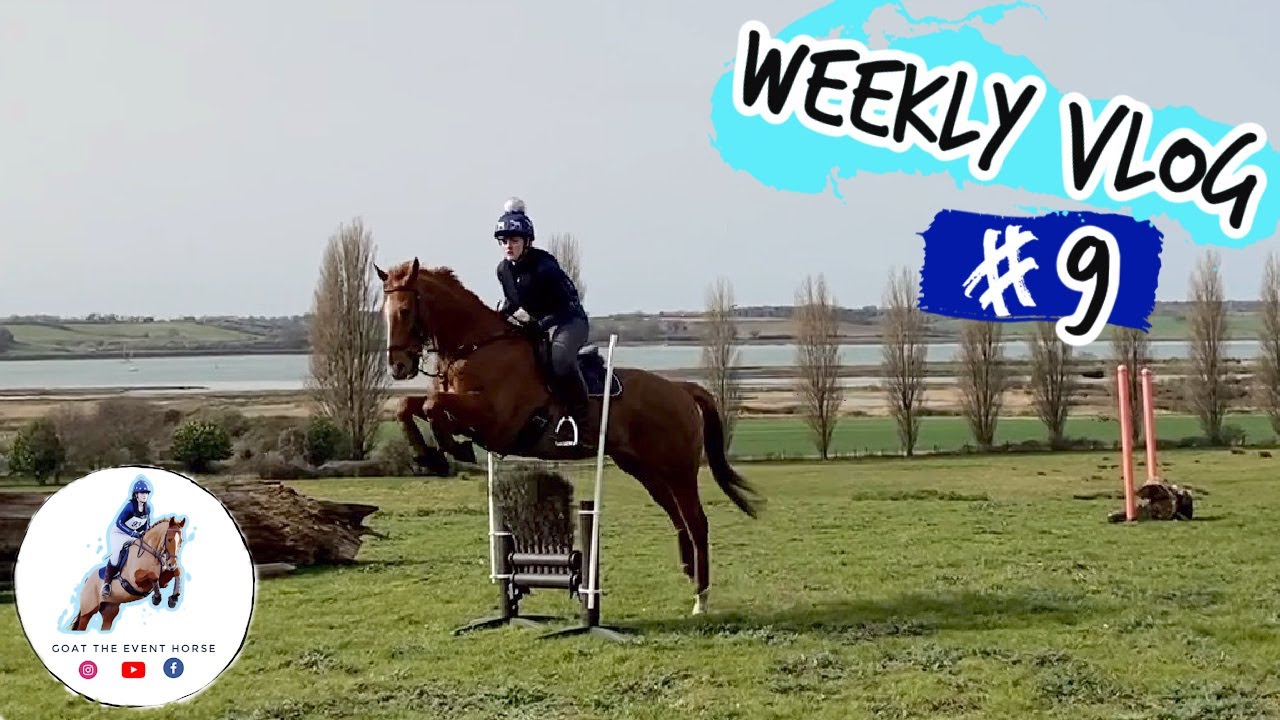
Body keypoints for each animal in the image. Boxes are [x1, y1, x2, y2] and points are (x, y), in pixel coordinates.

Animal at [375, 257, 763, 615]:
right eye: (384, 313)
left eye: (406, 310)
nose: (398, 367)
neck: (476, 348)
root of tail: (680, 388)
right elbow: (409, 405)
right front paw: (429, 454)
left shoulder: (496, 422)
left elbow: (432, 404)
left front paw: (450, 449)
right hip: (643, 469)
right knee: (677, 516)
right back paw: (688, 570)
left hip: (678, 469)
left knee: (697, 522)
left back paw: (701, 597)